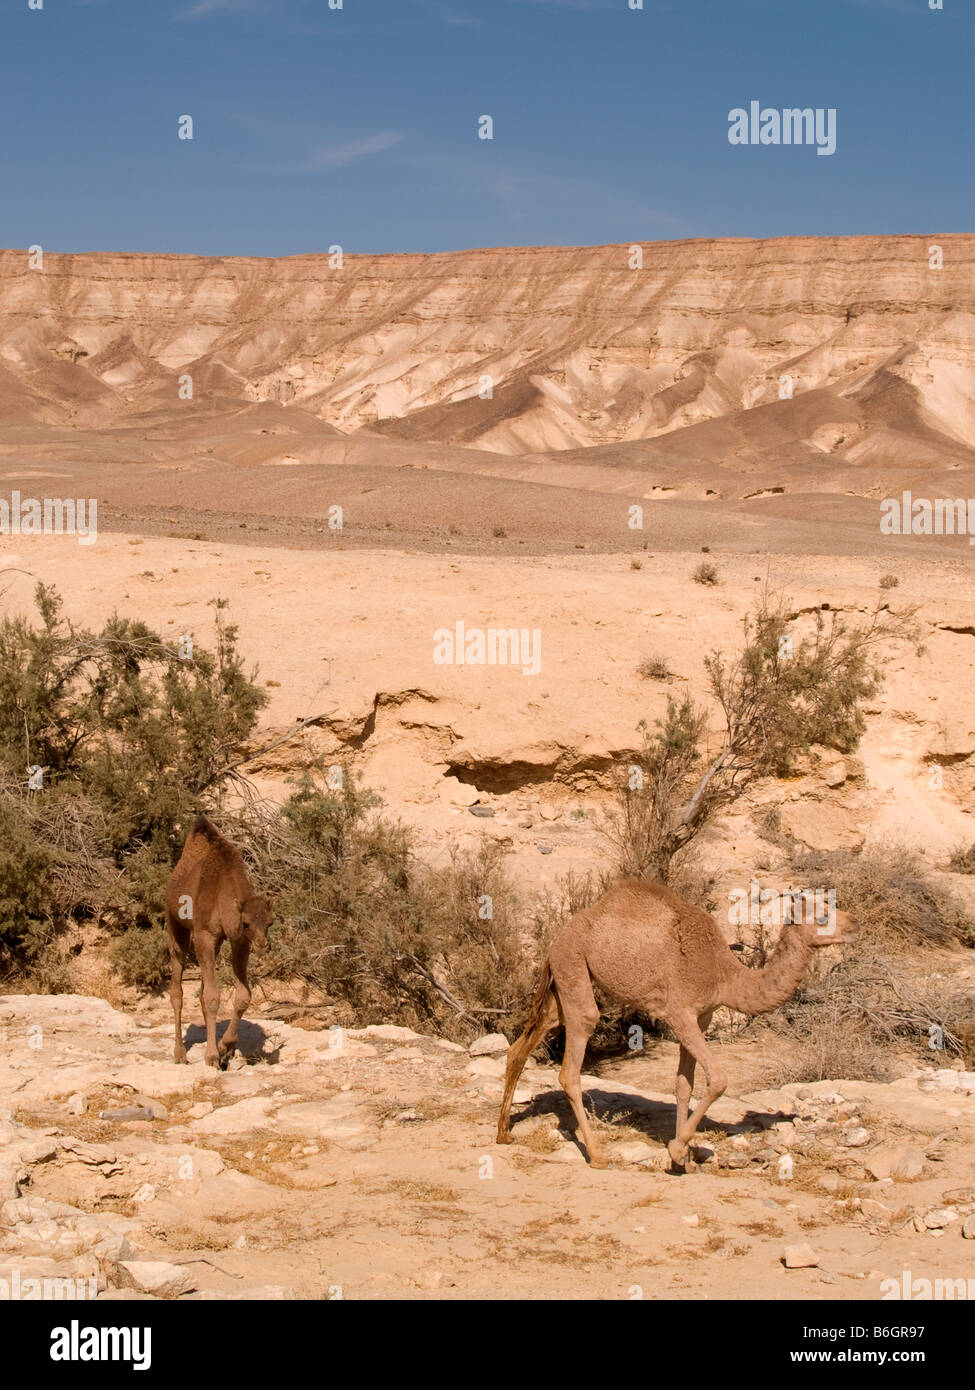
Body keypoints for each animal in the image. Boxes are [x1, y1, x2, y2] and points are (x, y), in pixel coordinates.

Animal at [165, 814, 274, 1068]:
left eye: (270, 923)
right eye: (246, 923)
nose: (262, 945)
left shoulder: (238, 941)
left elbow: (243, 996)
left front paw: (226, 1046)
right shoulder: (205, 934)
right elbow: (212, 997)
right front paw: (213, 1056)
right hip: (174, 921)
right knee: (177, 986)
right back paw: (180, 1053)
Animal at [496, 877, 857, 1171]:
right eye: (822, 916)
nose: (854, 924)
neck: (723, 974)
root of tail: (556, 939)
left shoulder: (702, 1015)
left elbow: (684, 1084)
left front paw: (682, 1159)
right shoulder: (679, 1013)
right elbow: (718, 1079)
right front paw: (678, 1148)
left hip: (562, 985)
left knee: (524, 1044)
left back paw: (503, 1133)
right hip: (573, 966)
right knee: (573, 1059)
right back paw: (597, 1155)